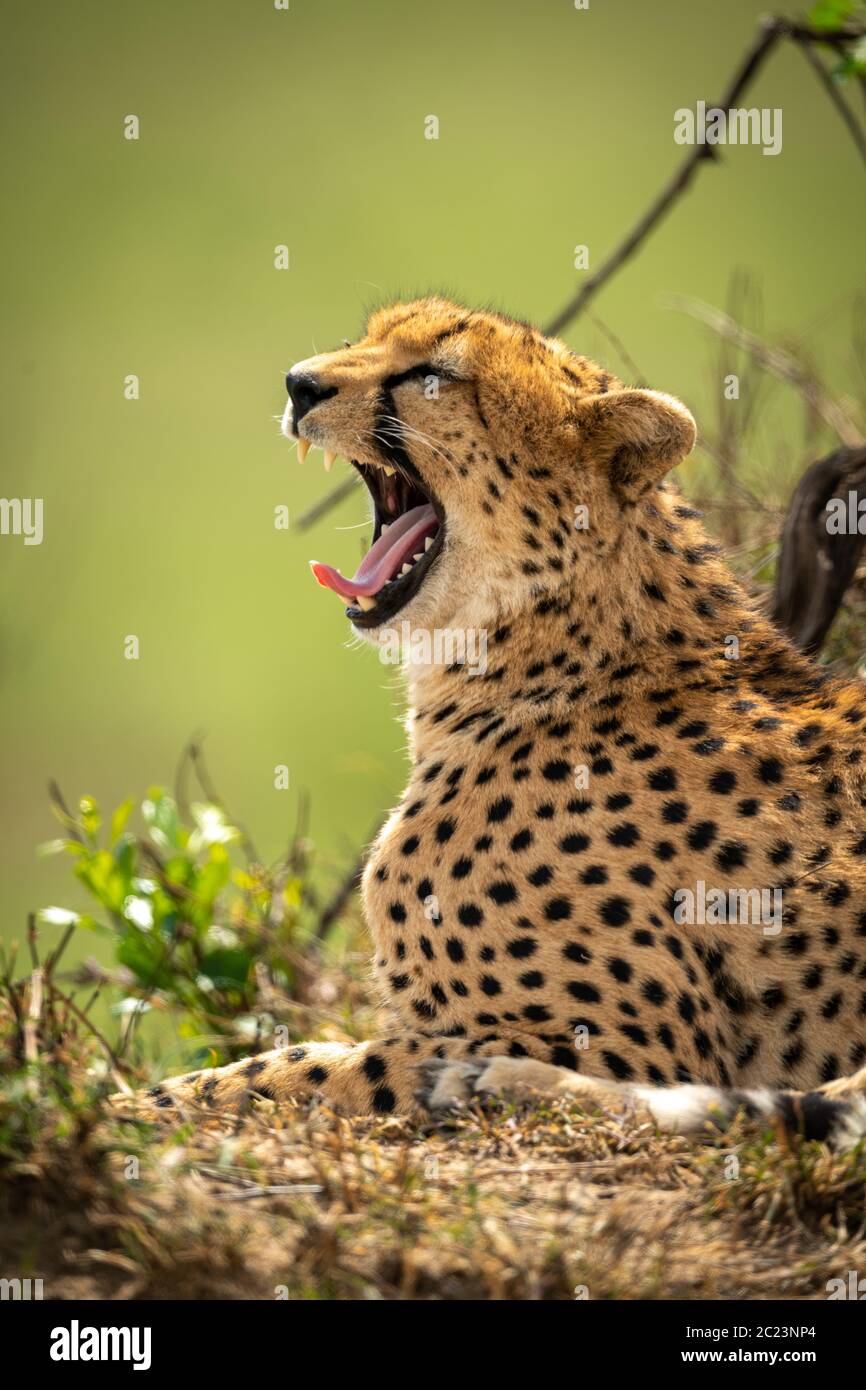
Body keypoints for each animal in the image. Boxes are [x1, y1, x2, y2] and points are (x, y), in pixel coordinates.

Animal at [140, 295, 866, 1146]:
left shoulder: (629, 1041)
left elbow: (305, 1065)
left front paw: (127, 1106)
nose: (299, 383)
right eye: (365, 337)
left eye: (433, 374)